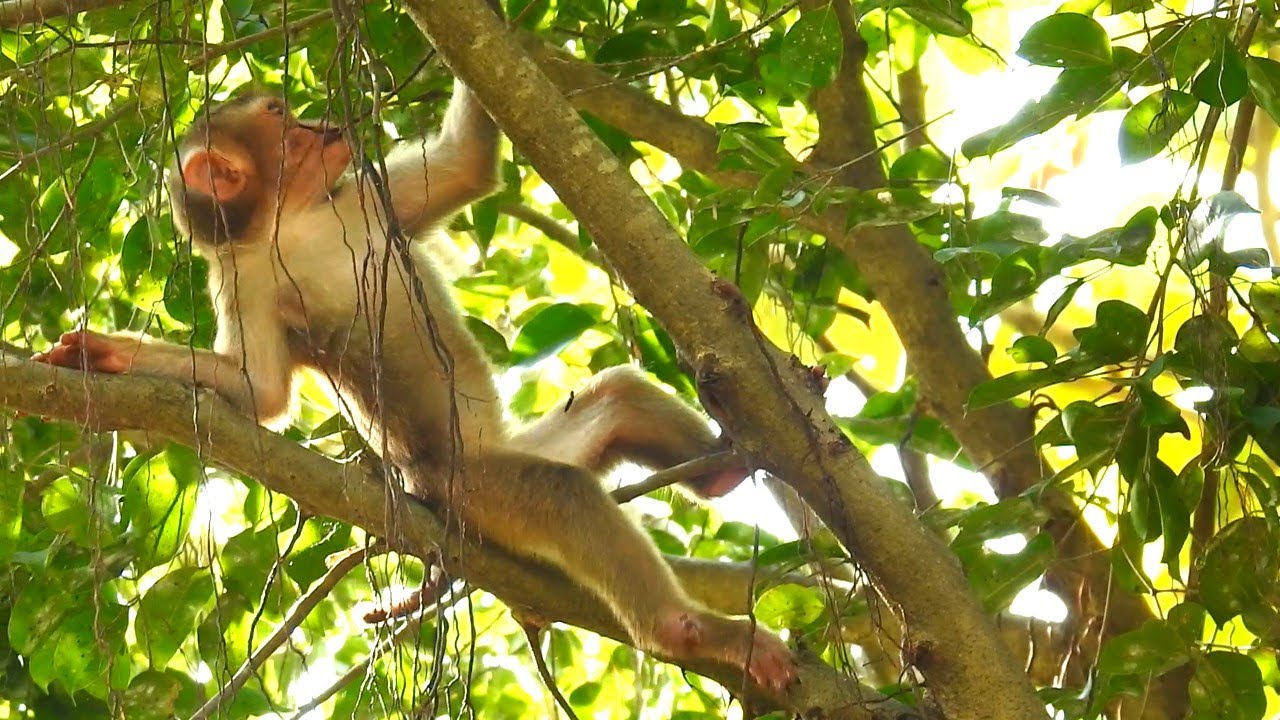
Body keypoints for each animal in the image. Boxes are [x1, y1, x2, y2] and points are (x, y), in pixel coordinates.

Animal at [33, 82, 797, 691]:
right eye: (280, 116)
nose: (323, 122)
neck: (297, 218)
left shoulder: (364, 197)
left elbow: (463, 163)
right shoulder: (243, 276)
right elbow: (257, 392)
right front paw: (107, 356)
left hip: (548, 442)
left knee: (617, 398)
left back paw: (723, 467)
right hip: (473, 490)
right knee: (563, 495)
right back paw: (687, 626)